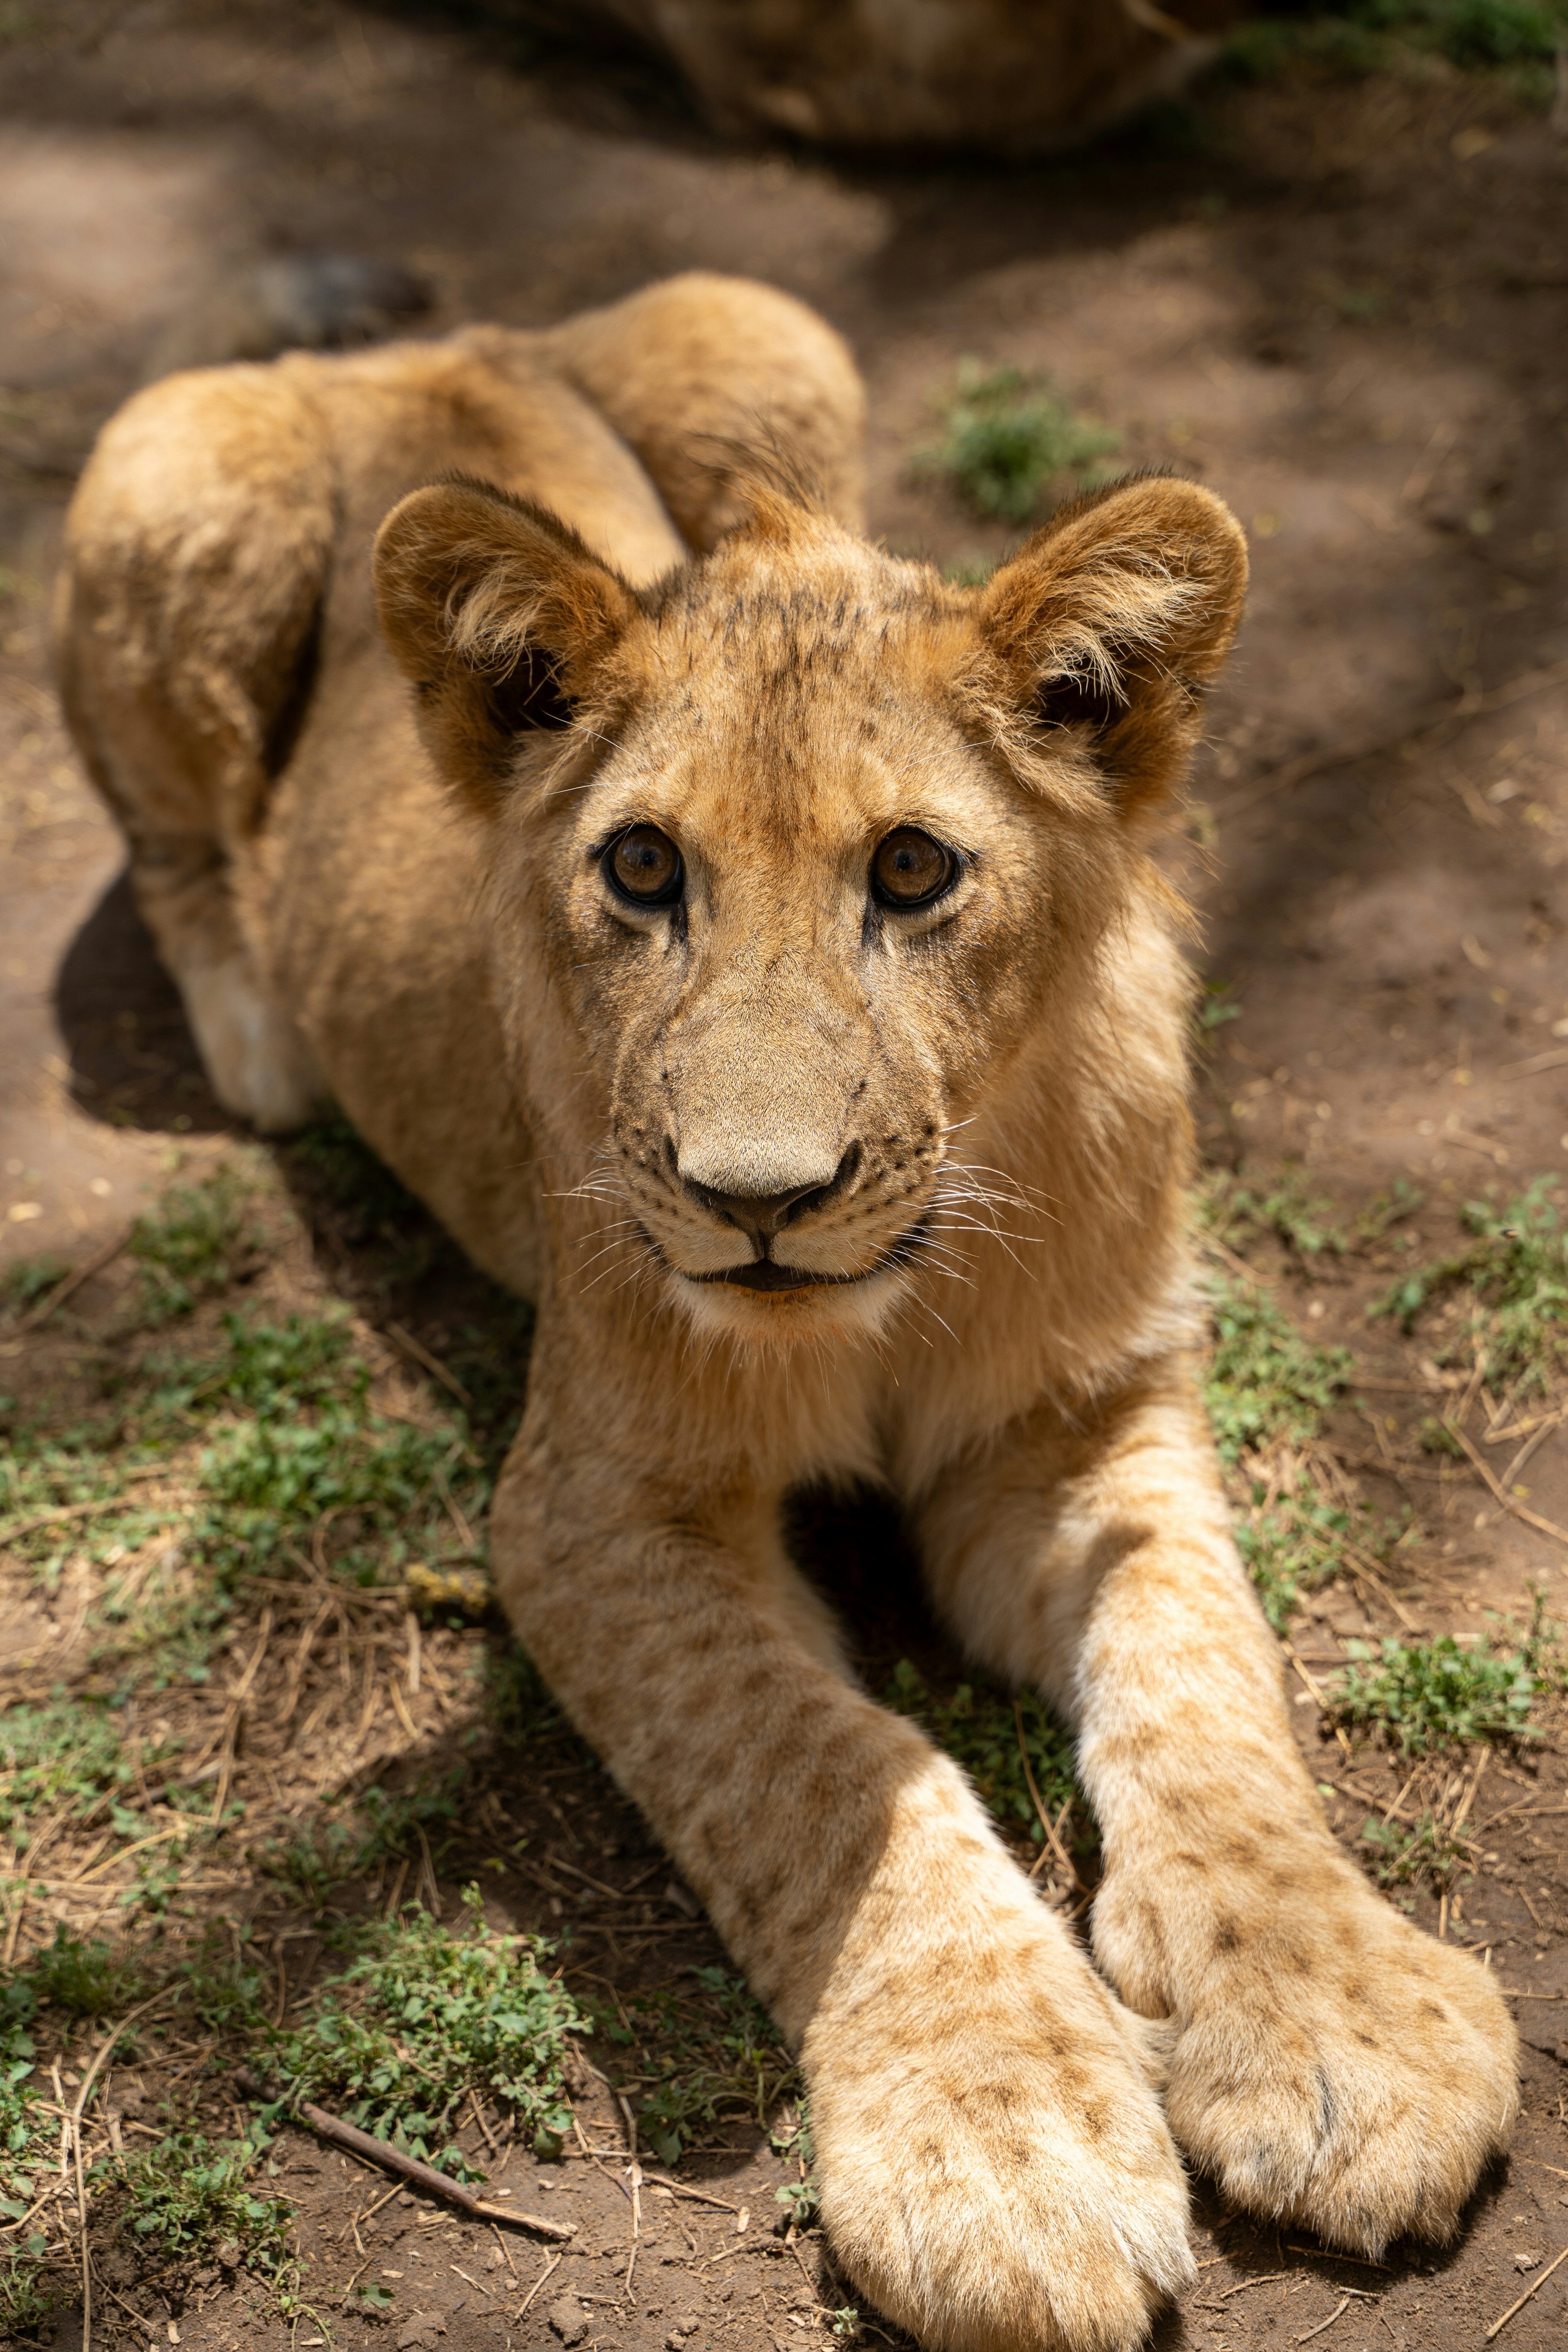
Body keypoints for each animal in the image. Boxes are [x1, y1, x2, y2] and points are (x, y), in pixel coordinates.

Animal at [57, 271, 1516, 2352]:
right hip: (171, 473)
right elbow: (832, 1765)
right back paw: (263, 1036)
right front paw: (1002, 2142)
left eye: (909, 869)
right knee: (175, 831)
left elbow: (1207, 1671)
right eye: (638, 866)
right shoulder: (589, 1509)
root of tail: (410, 344)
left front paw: (1337, 2023)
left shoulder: (1085, 1425)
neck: (895, 1299)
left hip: (770, 335)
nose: (756, 1204)